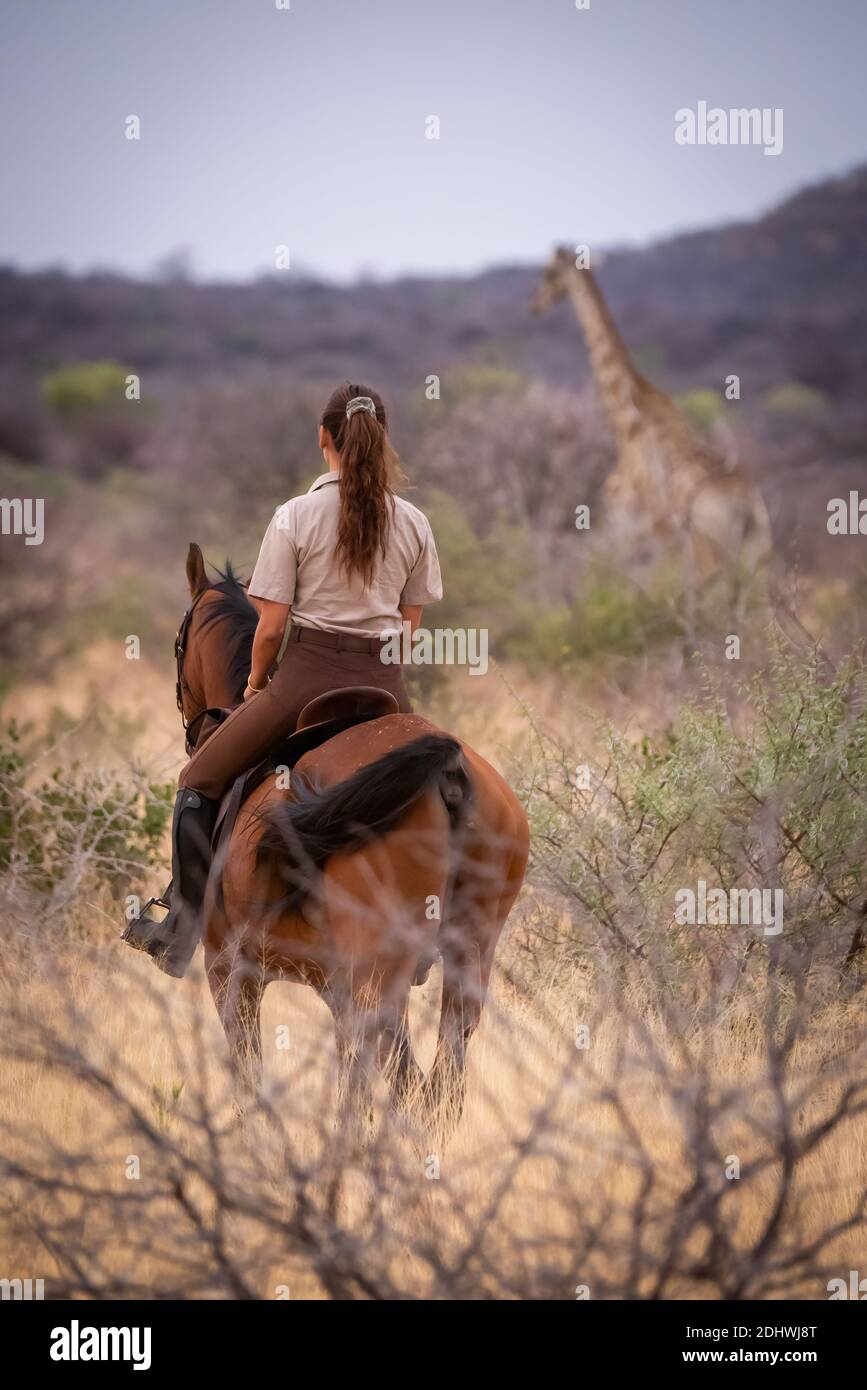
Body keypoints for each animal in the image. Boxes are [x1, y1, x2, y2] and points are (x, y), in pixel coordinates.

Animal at [532, 247, 773, 578]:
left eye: (549, 273)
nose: (535, 305)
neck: (627, 422)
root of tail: (746, 503)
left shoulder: (632, 522)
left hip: (710, 547)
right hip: (758, 549)